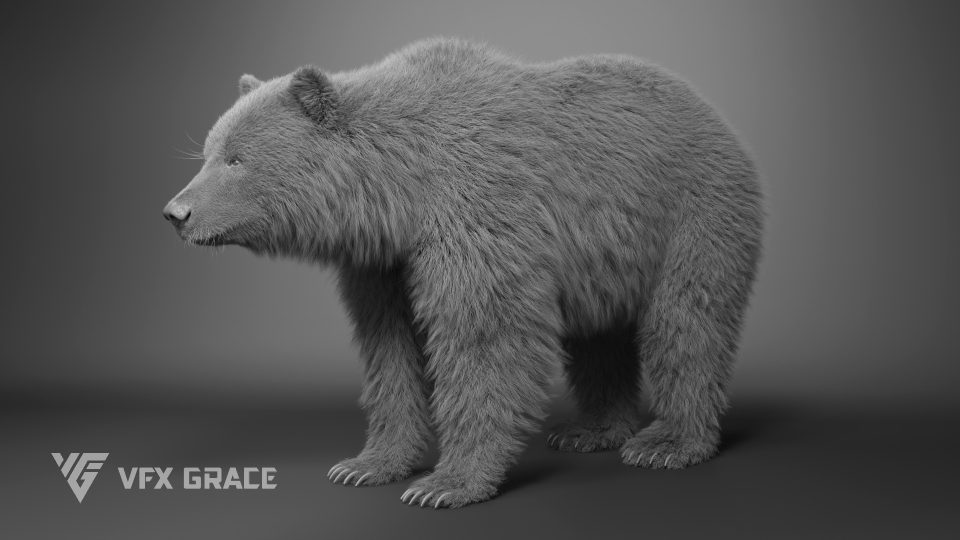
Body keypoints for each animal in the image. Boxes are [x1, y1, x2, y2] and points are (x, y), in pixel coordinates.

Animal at [164, 37, 764, 509]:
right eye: (207, 152)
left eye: (237, 159)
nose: (176, 212)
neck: (399, 190)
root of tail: (715, 116)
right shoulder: (384, 263)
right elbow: (390, 347)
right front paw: (365, 463)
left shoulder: (475, 208)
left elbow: (484, 337)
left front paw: (444, 483)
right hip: (608, 260)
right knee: (601, 338)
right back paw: (590, 431)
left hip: (689, 216)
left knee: (686, 324)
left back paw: (666, 443)